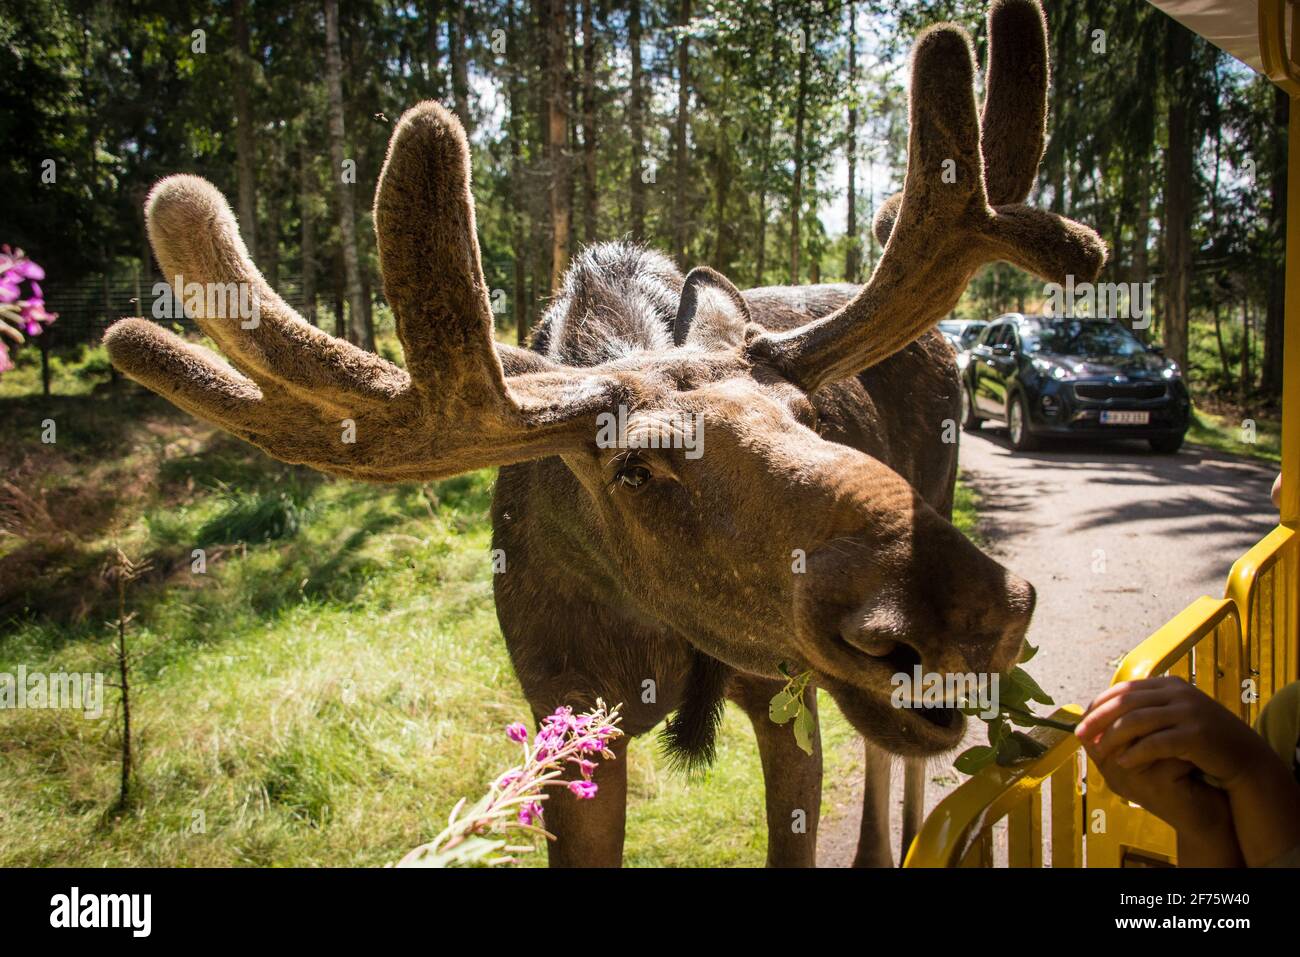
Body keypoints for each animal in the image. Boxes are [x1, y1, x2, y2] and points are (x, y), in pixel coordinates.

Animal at [105, 0, 1104, 867]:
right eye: (633, 468)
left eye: (813, 417)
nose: (972, 613)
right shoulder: (566, 712)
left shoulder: (788, 692)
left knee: (904, 754)